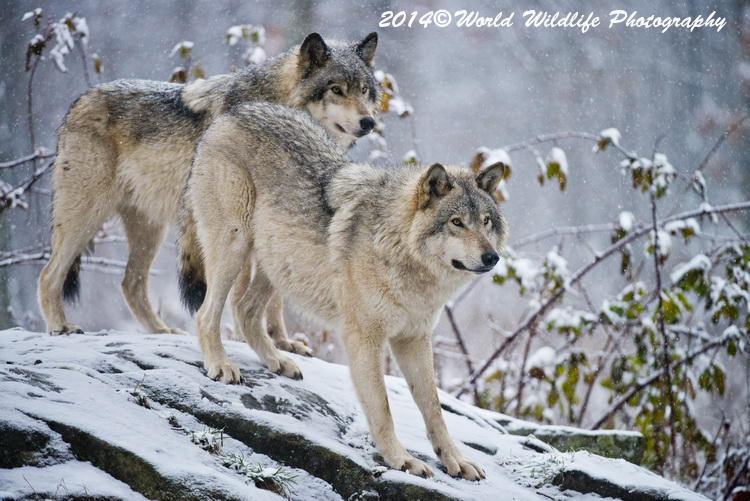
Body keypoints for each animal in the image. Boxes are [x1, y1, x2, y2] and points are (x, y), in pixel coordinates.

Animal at [37, 32, 379, 347]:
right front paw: (248, 340)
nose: (369, 122)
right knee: (49, 274)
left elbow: (275, 296)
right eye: (336, 90)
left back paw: (162, 332)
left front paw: (282, 344)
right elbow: (244, 295)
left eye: (364, 90)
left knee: (130, 283)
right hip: (86, 217)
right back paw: (60, 326)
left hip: (150, 229)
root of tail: (79, 100)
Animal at [180, 102, 508, 479]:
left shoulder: (413, 339)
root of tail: (234, 112)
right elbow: (382, 407)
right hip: (233, 248)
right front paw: (402, 460)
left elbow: (434, 408)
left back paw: (277, 361)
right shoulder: (363, 338)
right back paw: (221, 365)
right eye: (457, 223)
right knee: (206, 314)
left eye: (486, 222)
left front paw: (454, 459)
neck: (399, 251)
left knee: (245, 311)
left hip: (276, 268)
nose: (491, 257)